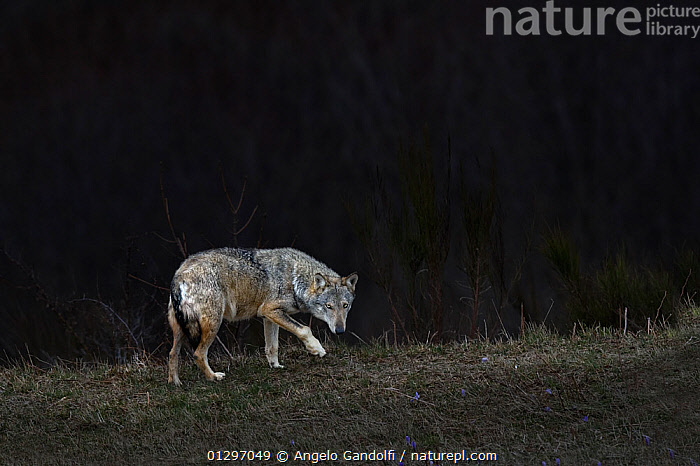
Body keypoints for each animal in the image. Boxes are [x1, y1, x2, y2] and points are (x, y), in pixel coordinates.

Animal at [167, 247, 358, 385]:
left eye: (345, 306)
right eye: (328, 306)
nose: (340, 331)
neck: (295, 279)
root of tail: (179, 275)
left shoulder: (269, 316)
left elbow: (272, 346)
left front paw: (276, 366)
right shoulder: (270, 310)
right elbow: (304, 330)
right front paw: (316, 350)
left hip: (181, 329)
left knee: (172, 353)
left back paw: (175, 383)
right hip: (213, 324)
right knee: (198, 354)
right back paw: (213, 377)